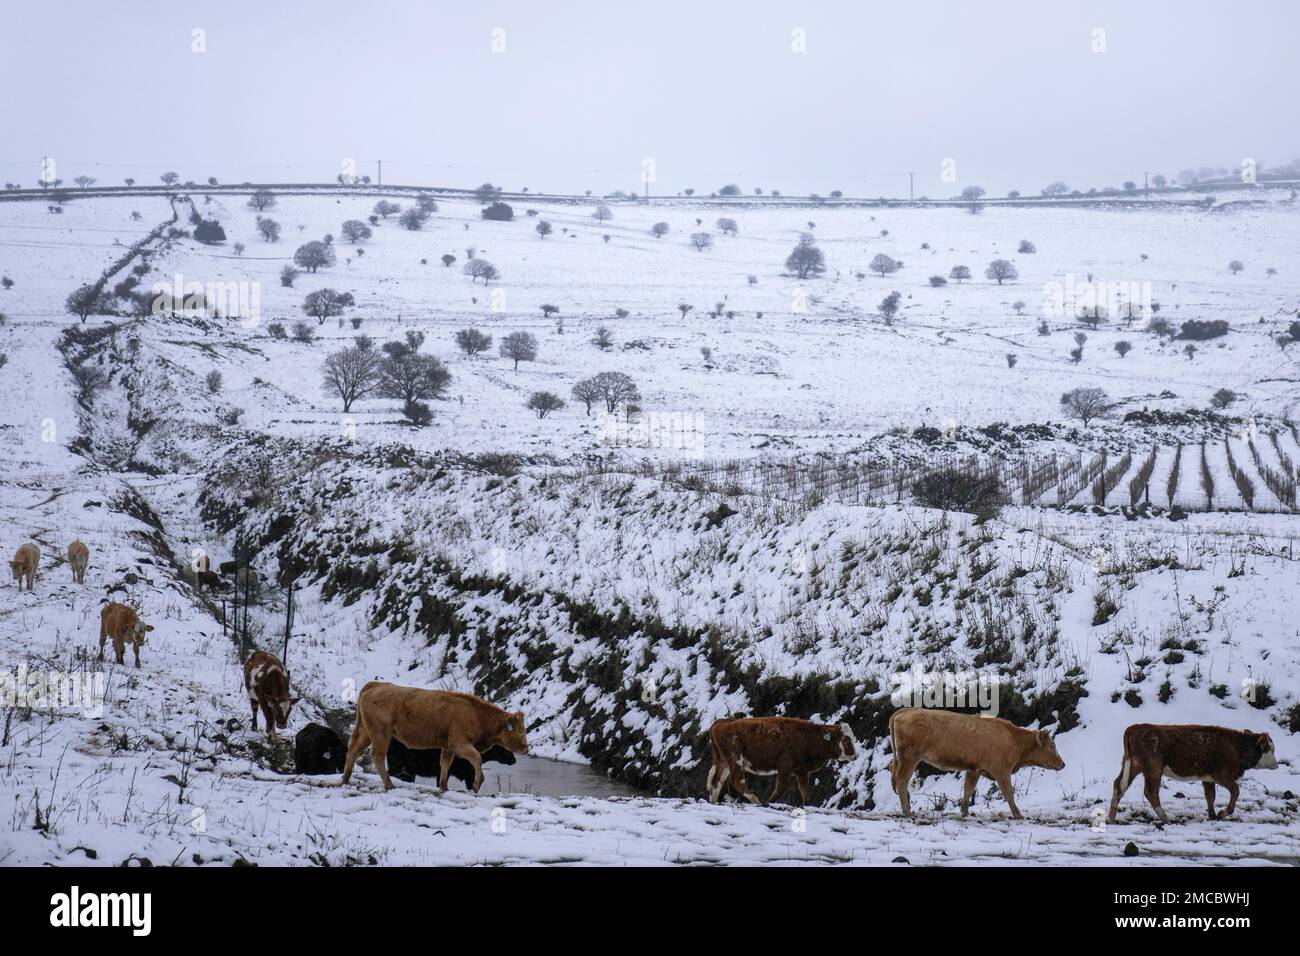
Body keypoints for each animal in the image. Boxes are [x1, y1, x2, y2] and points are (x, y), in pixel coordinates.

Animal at [706, 716, 857, 805]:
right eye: (846, 739)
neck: (808, 737)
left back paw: (714, 802)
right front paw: (770, 801)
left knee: (716, 782)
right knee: (736, 780)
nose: (855, 755)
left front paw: (806, 804)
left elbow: (805, 791)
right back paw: (757, 800)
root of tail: (721, 722)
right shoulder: (785, 768)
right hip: (736, 762)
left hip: (723, 763)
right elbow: (780, 787)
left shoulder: (801, 772)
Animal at [888, 709, 1065, 819]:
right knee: (902, 780)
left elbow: (968, 790)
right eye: (1051, 746)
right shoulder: (1002, 771)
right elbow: (1008, 792)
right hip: (909, 758)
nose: (1063, 764)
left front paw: (965, 812)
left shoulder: (974, 770)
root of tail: (905, 711)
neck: (1014, 740)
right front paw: (1018, 815)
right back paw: (907, 811)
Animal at [1108, 723, 1279, 823]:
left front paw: (1213, 815)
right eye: (1268, 748)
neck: (1236, 746)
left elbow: (1210, 796)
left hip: (1134, 766)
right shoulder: (1221, 775)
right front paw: (1222, 813)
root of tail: (1134, 728)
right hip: (1154, 769)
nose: (1276, 765)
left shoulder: (1208, 778)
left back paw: (1111, 818)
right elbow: (1235, 791)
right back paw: (1165, 818)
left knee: (1119, 785)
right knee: (1150, 791)